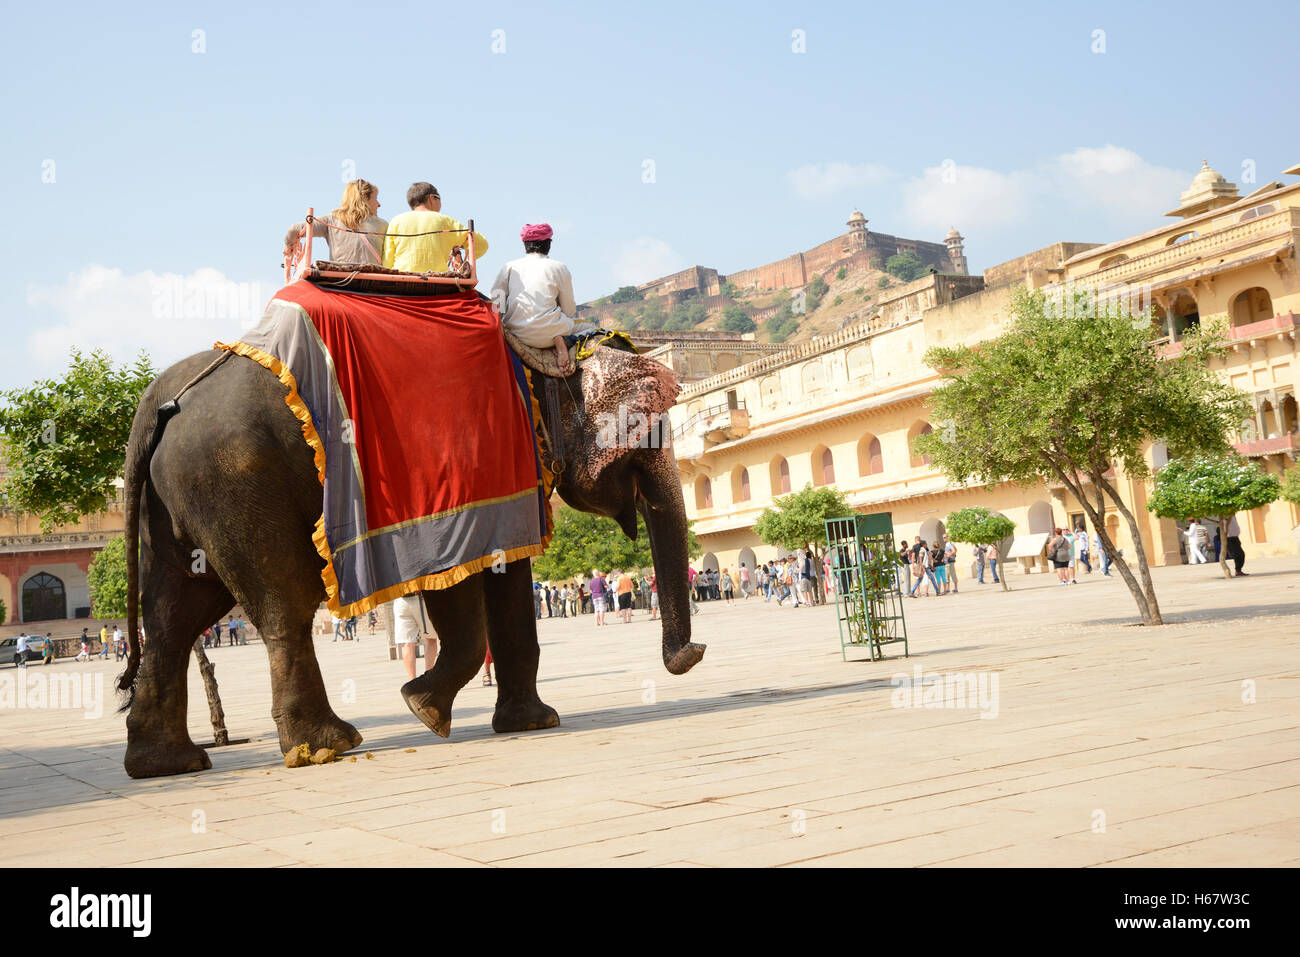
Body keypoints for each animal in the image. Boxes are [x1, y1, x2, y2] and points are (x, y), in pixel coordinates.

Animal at [117, 339, 704, 778]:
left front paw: (532, 724)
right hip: (236, 479)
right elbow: (455, 575)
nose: (694, 653)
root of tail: (159, 399)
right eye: (649, 433)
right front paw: (423, 709)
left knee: (176, 613)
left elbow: (509, 575)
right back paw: (327, 746)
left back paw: (169, 765)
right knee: (282, 604)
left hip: (177, 499)